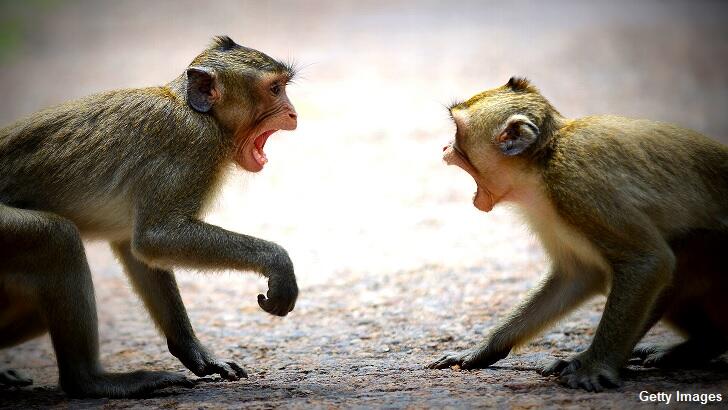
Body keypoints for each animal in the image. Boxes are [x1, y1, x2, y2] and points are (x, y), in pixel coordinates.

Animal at [0, 35, 299, 398]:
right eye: (274, 89)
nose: (293, 113)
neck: (203, 116)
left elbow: (136, 247)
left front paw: (193, 352)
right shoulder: (191, 149)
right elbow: (156, 237)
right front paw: (277, 263)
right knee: (56, 239)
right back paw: (90, 381)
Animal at [428, 77, 728, 392]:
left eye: (458, 131)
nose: (445, 147)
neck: (542, 163)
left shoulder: (576, 184)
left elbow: (648, 261)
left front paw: (595, 365)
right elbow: (576, 275)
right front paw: (483, 349)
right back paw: (702, 345)